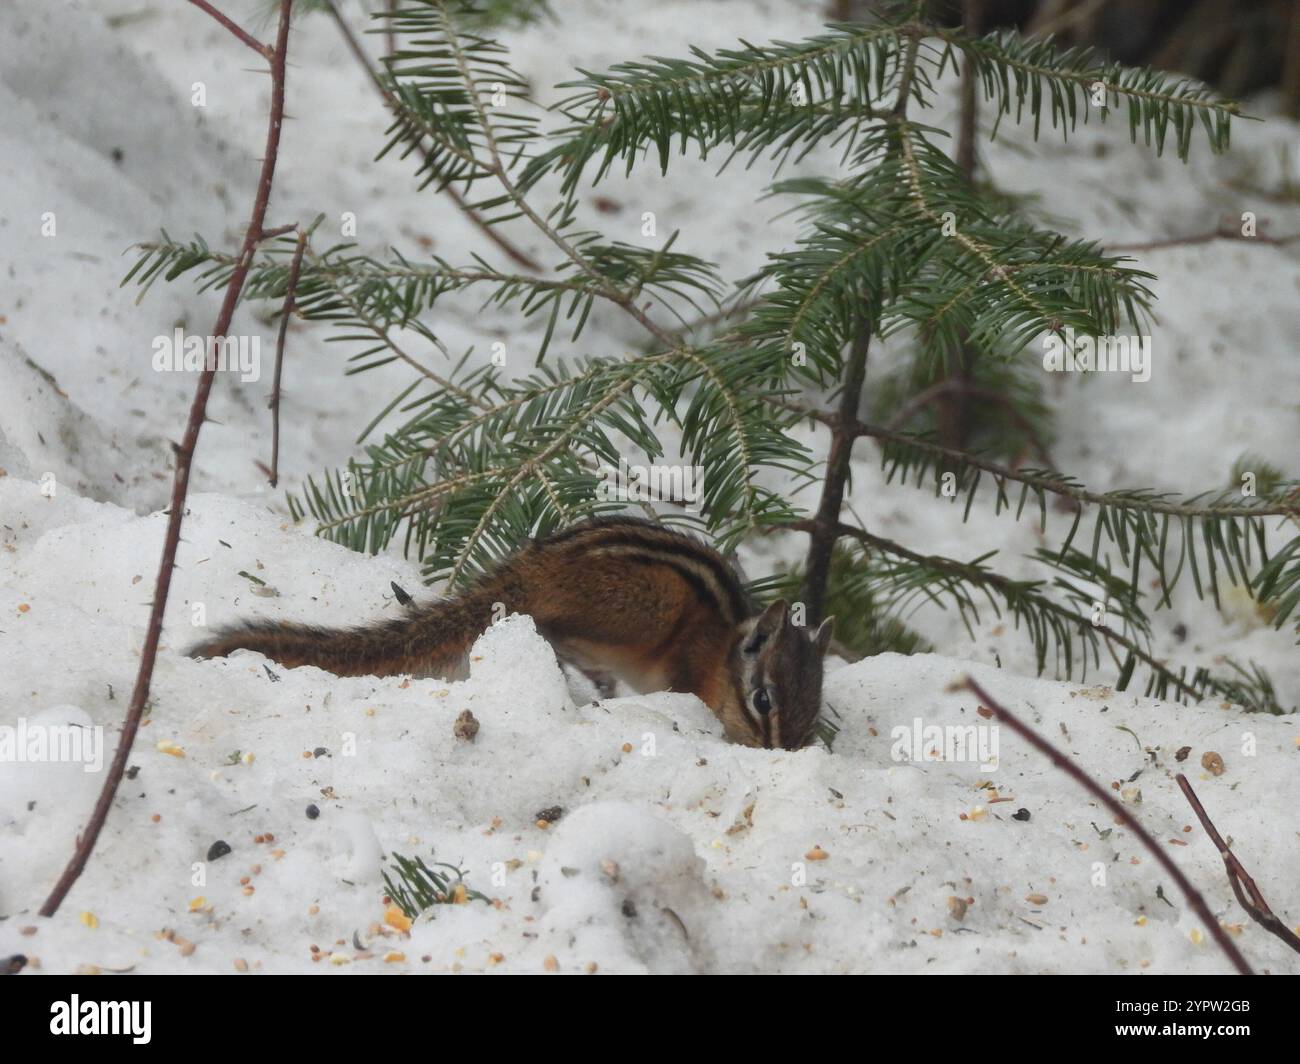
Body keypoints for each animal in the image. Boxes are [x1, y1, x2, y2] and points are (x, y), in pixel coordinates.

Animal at [189, 516, 834, 749]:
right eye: (763, 700)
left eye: (815, 704)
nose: (779, 753)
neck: (721, 653)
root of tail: (532, 573)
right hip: (634, 612)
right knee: (554, 632)